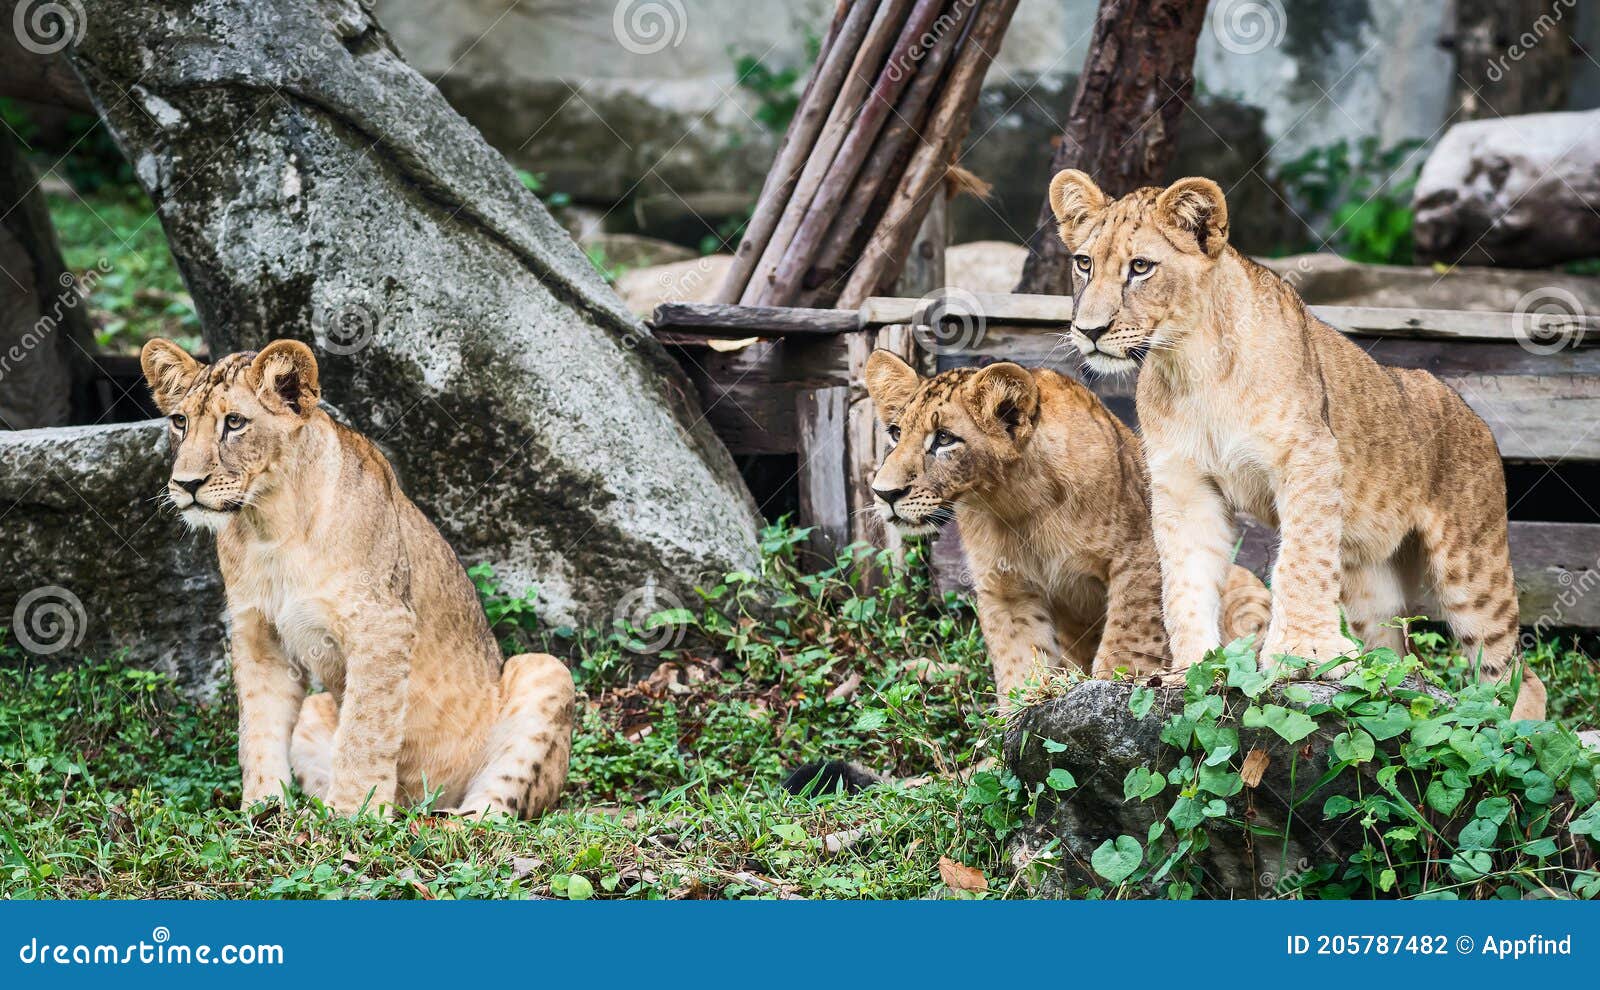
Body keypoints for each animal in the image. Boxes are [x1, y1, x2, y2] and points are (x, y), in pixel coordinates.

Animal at [140, 337, 575, 817]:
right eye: (180, 421)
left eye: (234, 422)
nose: (186, 484)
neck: (270, 524)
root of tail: (422, 803)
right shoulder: (258, 632)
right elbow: (258, 727)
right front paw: (263, 812)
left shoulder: (383, 623)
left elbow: (365, 728)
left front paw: (351, 816)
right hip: (315, 710)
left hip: (545, 671)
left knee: (494, 810)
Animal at [864, 351, 1270, 705]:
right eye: (895, 433)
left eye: (945, 439)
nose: (883, 493)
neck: (1013, 502)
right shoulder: (1006, 586)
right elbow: (1019, 659)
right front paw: (1014, 721)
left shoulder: (1139, 555)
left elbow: (1128, 637)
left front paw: (1115, 686)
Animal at [1046, 169, 1547, 720]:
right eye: (1084, 263)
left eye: (1141, 267)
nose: (1089, 330)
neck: (1192, 364)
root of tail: (1474, 415)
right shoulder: (1184, 484)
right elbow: (1184, 580)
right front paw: (1191, 670)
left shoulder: (1309, 458)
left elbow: (1299, 562)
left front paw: (1299, 651)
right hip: (1370, 581)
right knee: (1397, 655)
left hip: (1471, 569)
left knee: (1516, 675)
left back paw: (1513, 729)